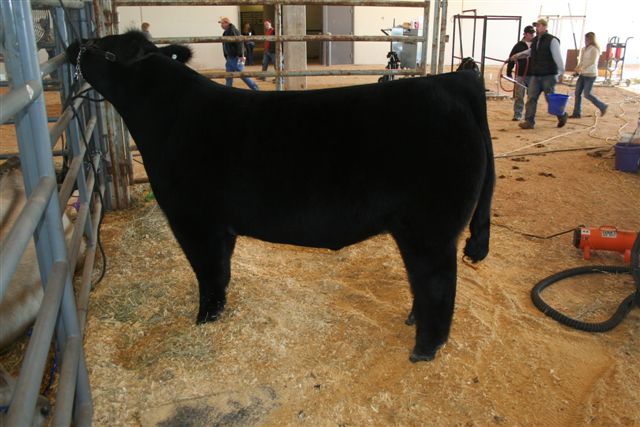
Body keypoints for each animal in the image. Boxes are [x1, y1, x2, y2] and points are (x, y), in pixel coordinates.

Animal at [65, 30, 495, 362]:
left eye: (104, 46)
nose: (74, 45)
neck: (170, 116)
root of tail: (452, 82)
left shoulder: (193, 220)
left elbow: (208, 273)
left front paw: (204, 318)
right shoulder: (220, 227)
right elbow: (222, 272)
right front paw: (216, 313)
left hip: (430, 229)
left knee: (438, 285)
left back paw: (424, 348)